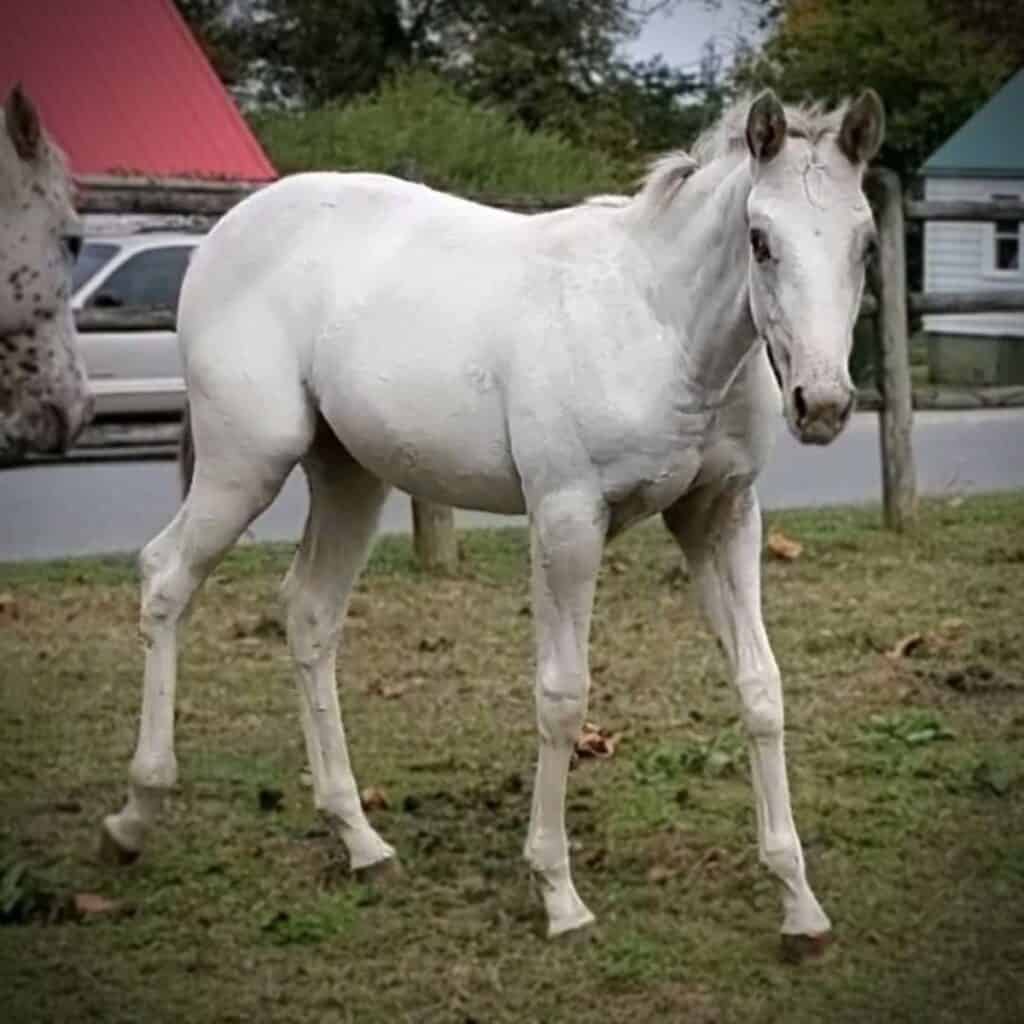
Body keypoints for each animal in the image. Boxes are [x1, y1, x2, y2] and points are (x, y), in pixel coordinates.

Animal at [101, 89, 884, 956]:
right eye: (760, 240)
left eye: (866, 240)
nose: (823, 404)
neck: (661, 324)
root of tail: (222, 236)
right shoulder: (568, 517)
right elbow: (563, 695)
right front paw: (558, 894)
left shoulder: (720, 515)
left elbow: (760, 686)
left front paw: (799, 904)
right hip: (247, 459)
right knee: (166, 578)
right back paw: (134, 816)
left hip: (347, 476)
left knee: (308, 613)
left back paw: (360, 840)